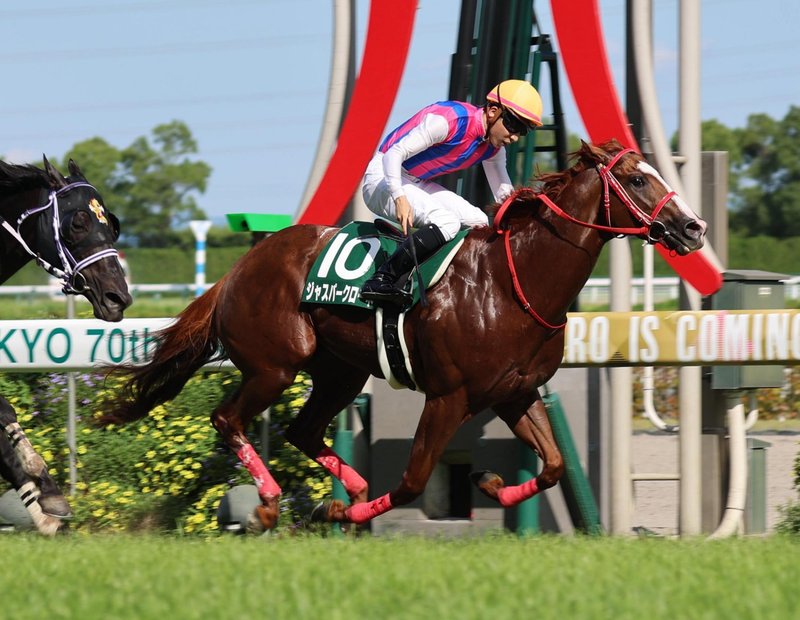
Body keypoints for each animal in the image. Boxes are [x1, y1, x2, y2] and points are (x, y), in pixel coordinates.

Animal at [101, 140, 706, 532]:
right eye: (637, 178)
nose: (694, 226)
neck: (513, 283)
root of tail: (238, 270)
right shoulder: (448, 396)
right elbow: (415, 481)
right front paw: (338, 511)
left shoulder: (514, 392)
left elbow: (554, 464)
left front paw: (490, 484)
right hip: (276, 365)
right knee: (228, 420)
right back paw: (272, 505)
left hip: (341, 373)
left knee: (302, 431)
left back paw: (350, 488)